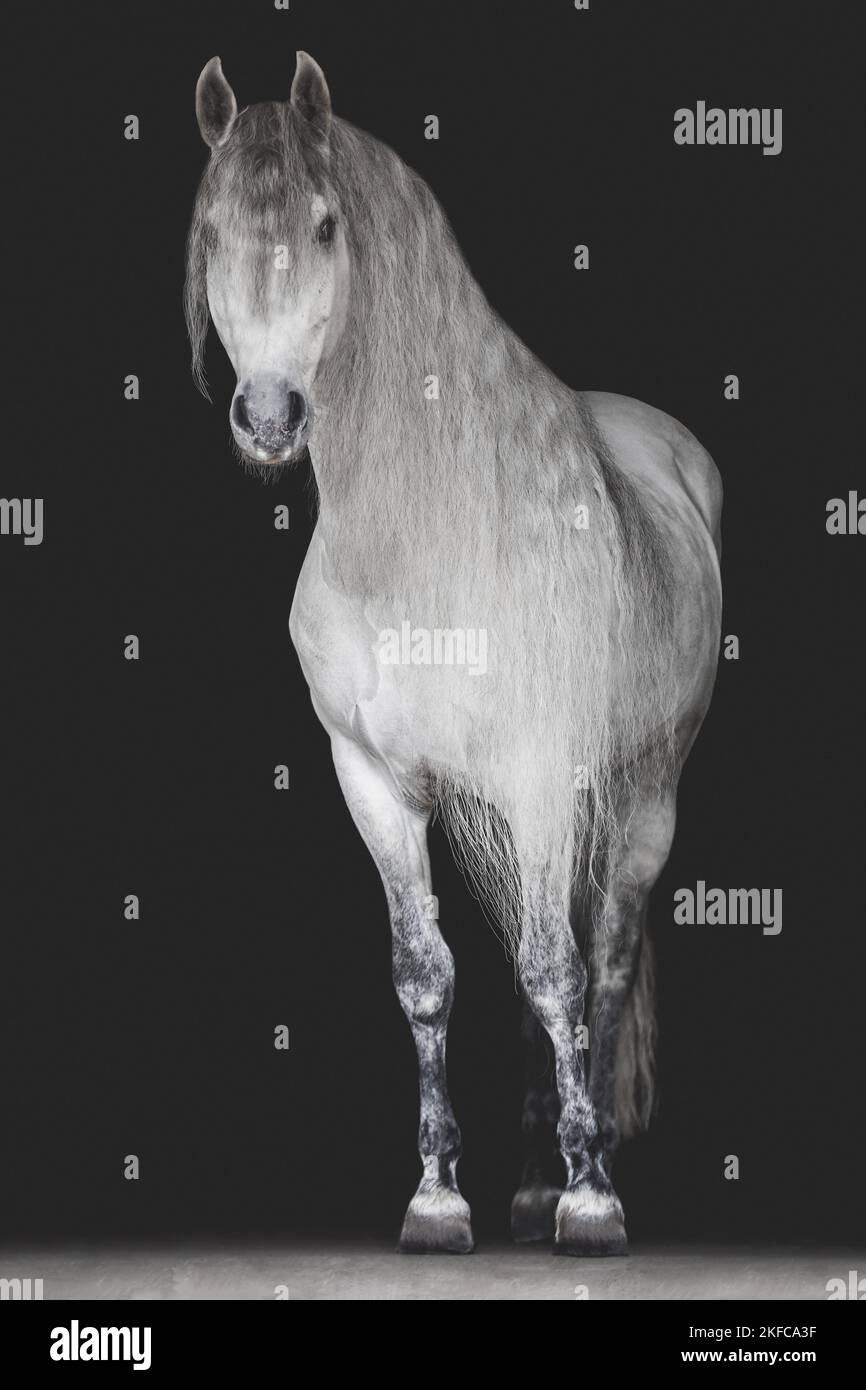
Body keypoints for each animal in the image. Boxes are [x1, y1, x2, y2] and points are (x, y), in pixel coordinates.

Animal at [185, 51, 722, 1257]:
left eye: (326, 224)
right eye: (211, 230)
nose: (270, 416)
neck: (416, 542)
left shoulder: (541, 776)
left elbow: (561, 975)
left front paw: (591, 1198)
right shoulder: (374, 782)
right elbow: (427, 979)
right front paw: (437, 1197)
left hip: (637, 798)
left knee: (599, 968)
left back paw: (578, 1178)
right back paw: (528, 1186)